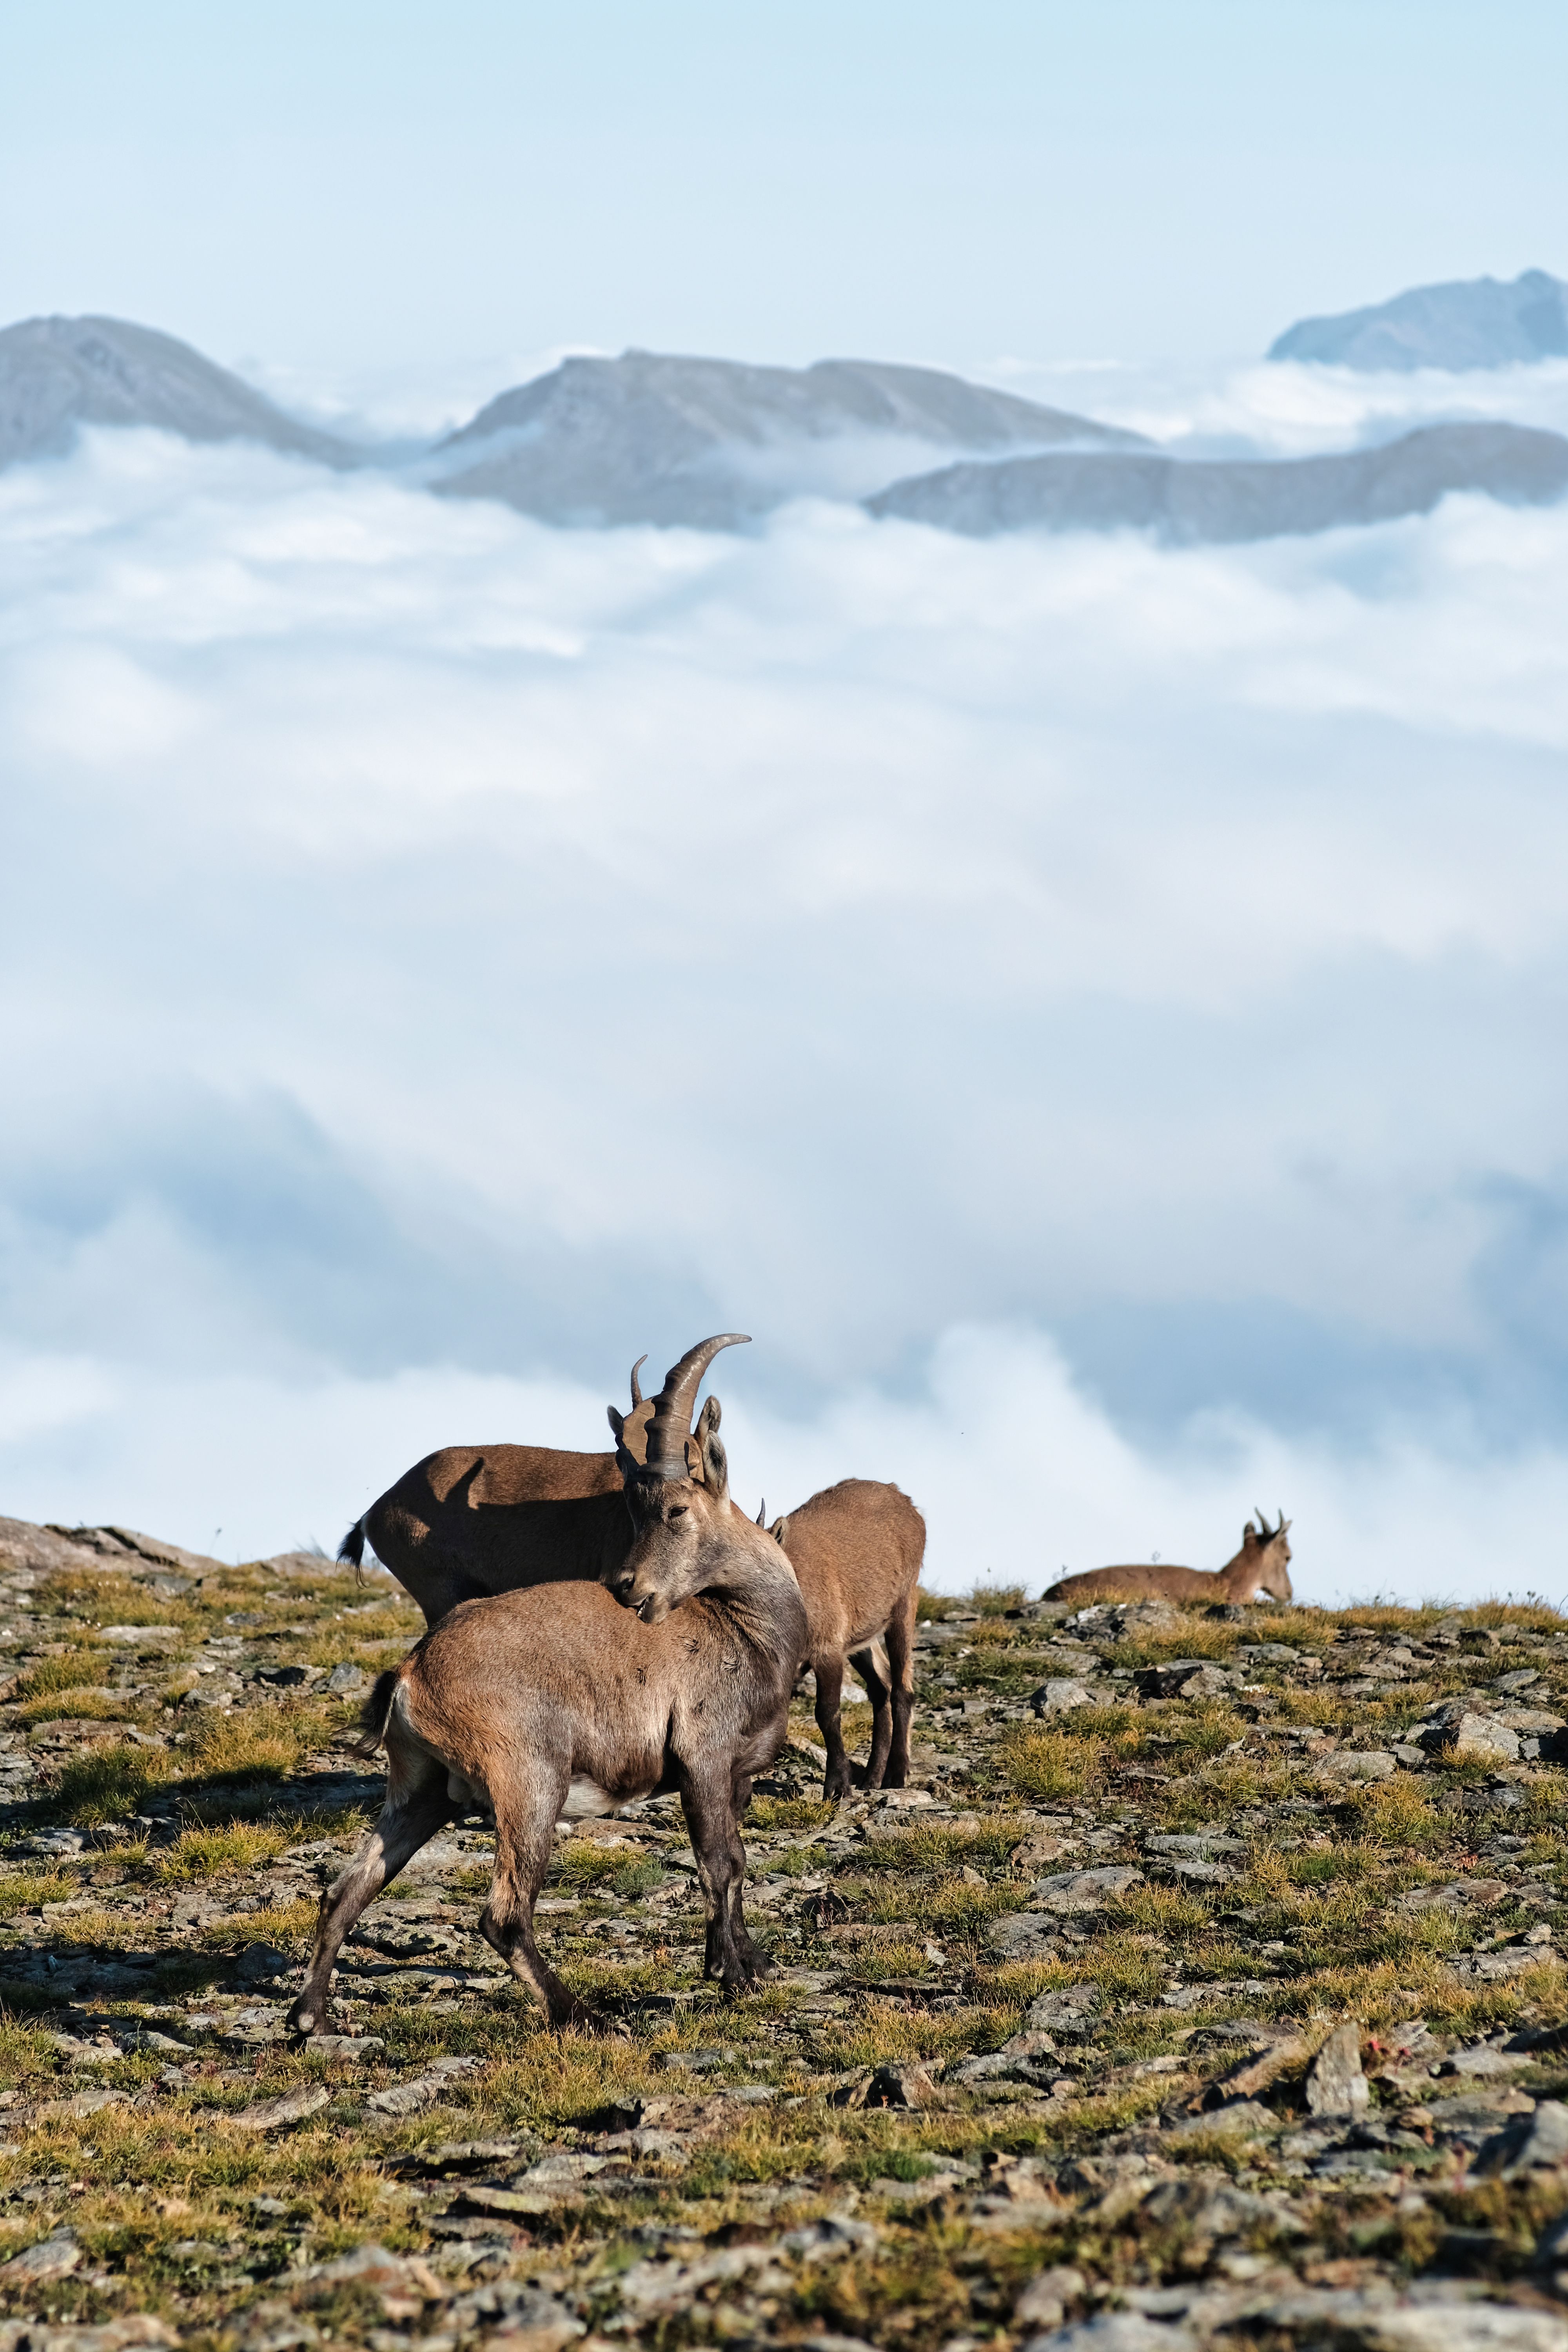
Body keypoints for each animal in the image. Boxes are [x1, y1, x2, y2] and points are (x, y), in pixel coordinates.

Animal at [289, 1344, 809, 2037]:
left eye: (674, 1510)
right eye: (641, 1510)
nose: (628, 1587)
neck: (746, 1626)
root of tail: (411, 1672)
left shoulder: (736, 1777)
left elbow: (735, 1863)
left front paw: (748, 1963)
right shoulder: (703, 1755)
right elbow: (720, 1861)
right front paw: (734, 1973)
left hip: (423, 1790)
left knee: (345, 1890)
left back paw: (310, 2017)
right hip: (530, 1781)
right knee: (503, 1916)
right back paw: (586, 2016)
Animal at [761, 1480, 924, 1798]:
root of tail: (904, 1498)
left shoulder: (827, 1651)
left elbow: (827, 1714)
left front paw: (838, 1786)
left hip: (903, 1604)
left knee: (902, 1689)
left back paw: (896, 1774)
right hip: (862, 1636)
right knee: (881, 1687)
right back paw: (872, 1777)